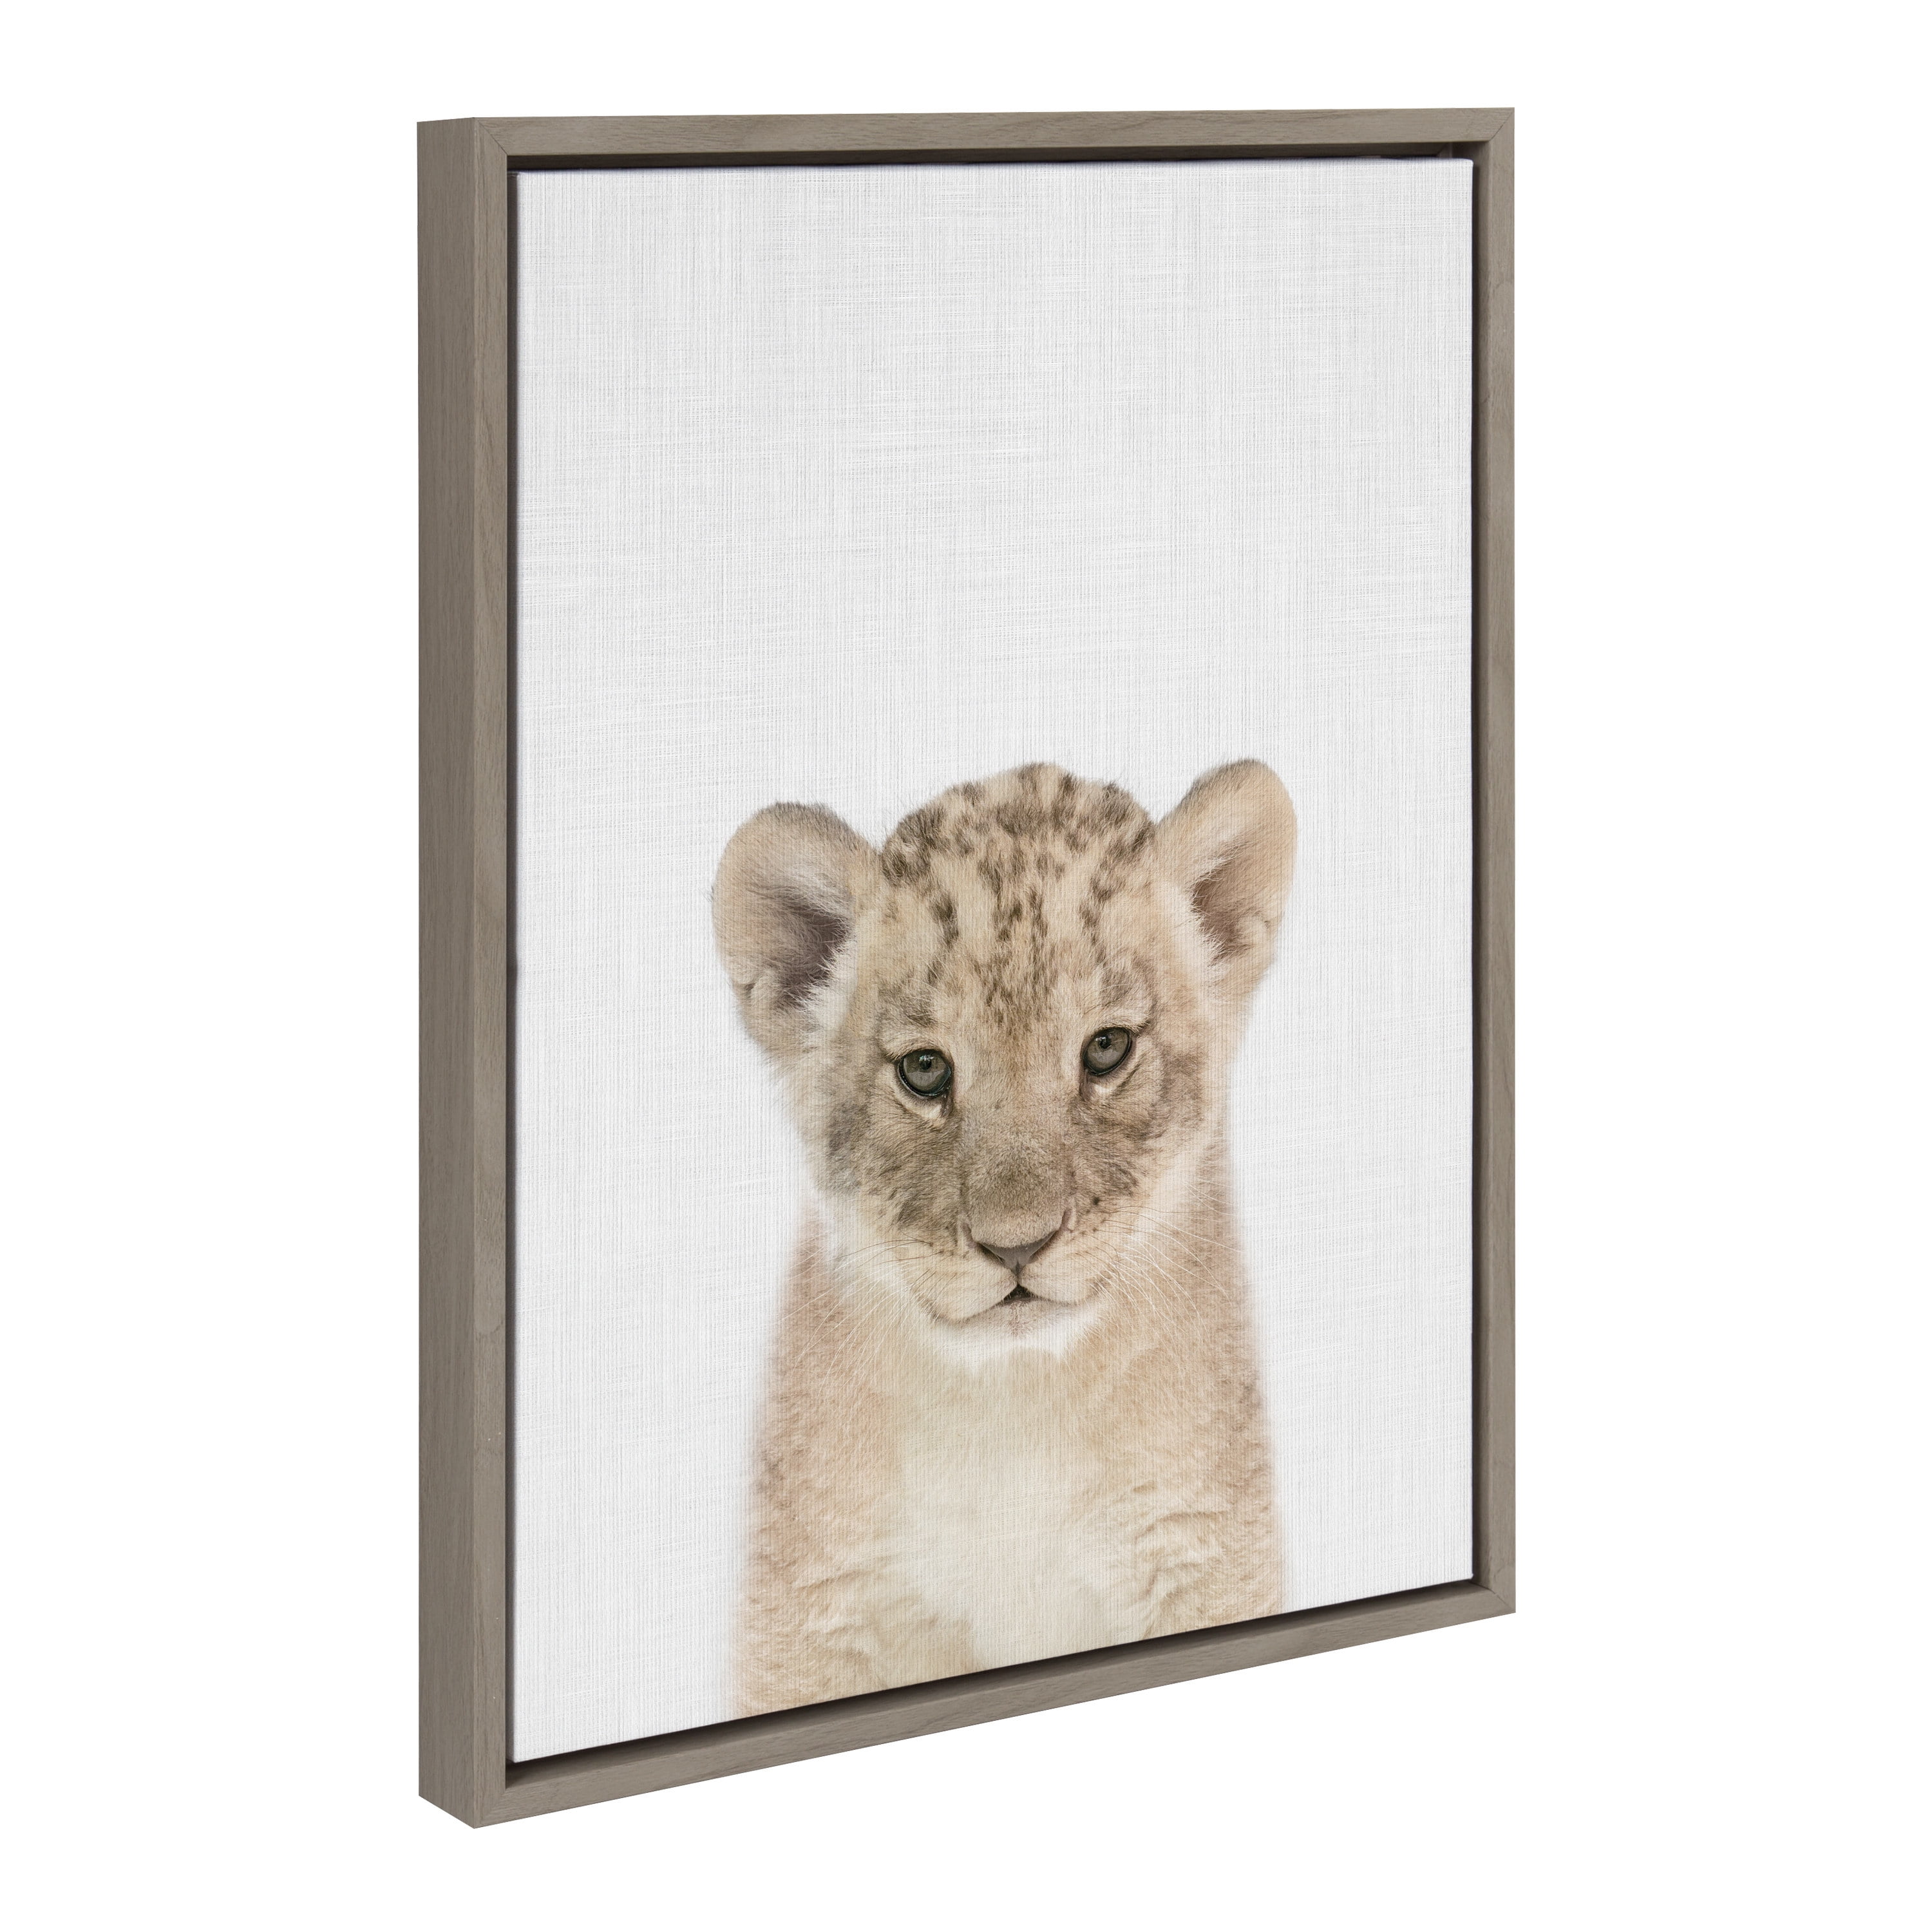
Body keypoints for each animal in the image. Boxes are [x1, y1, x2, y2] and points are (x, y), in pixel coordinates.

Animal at [712, 760, 1296, 1716]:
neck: (1014, 1407)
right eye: (924, 1070)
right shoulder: (814, 1618)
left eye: (1107, 1049)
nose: (1016, 1248)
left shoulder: (1204, 1558)